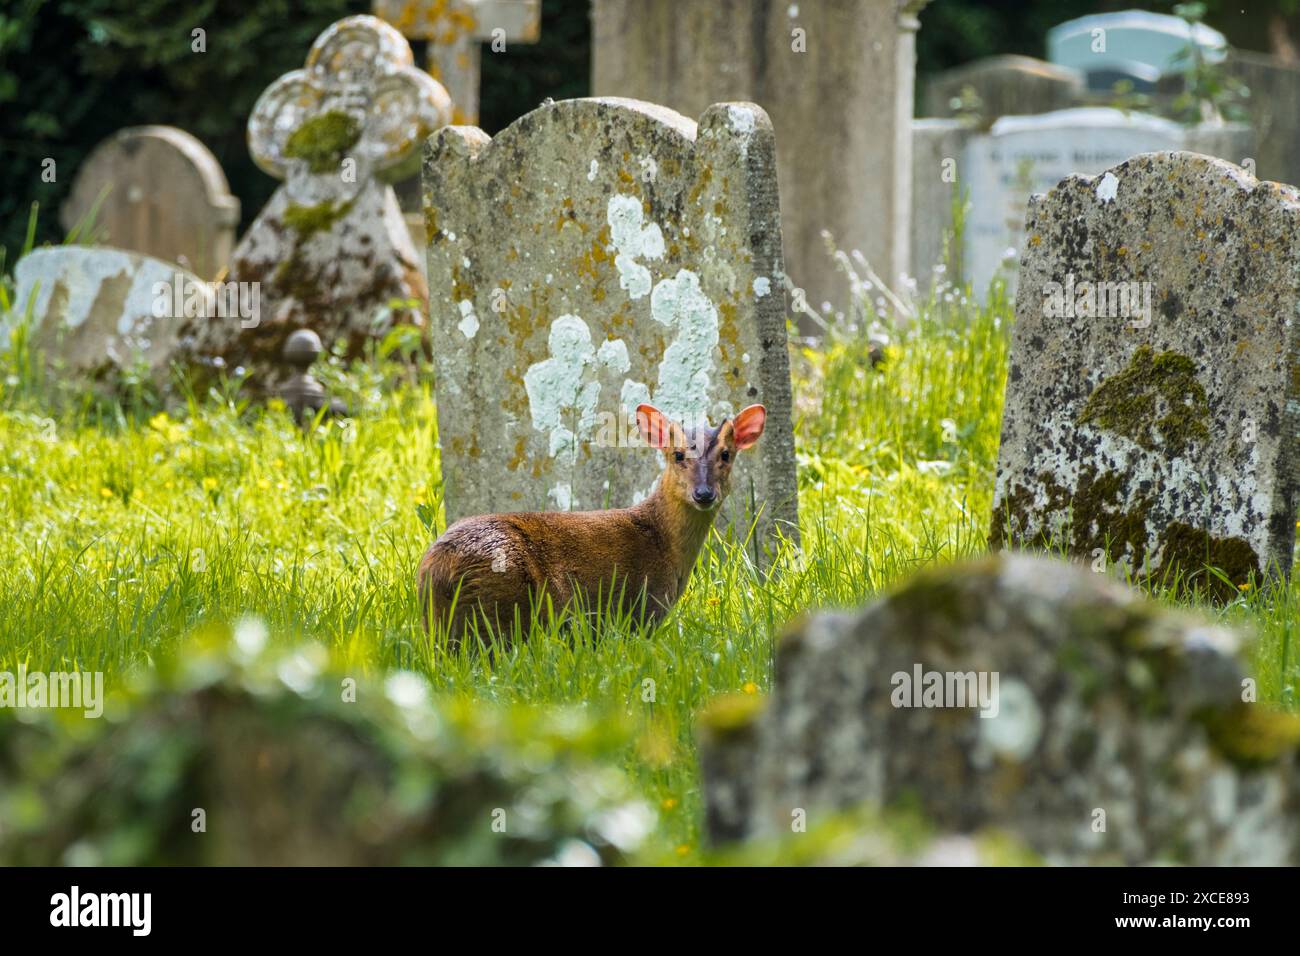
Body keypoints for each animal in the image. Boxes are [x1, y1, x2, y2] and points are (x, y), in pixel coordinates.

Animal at [417, 403, 767, 649]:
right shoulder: (643, 607)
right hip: (503, 602)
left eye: (726, 454)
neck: (663, 541)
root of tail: (439, 567)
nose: (704, 493)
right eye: (678, 455)